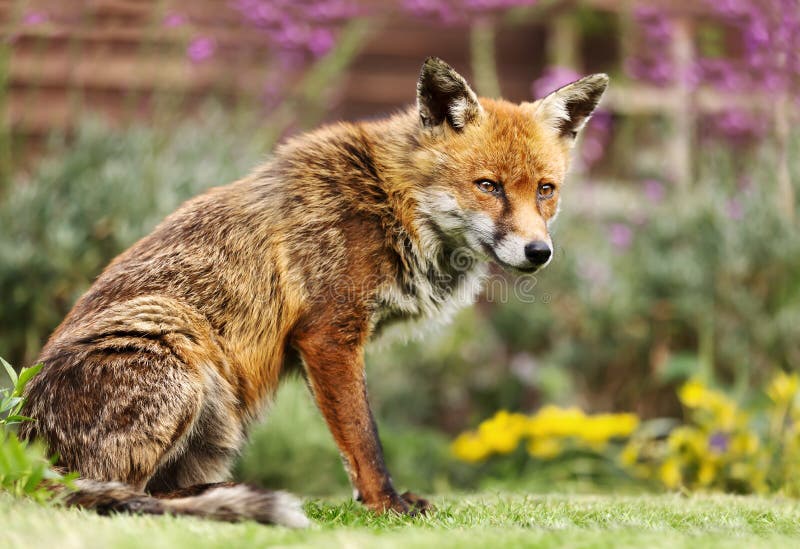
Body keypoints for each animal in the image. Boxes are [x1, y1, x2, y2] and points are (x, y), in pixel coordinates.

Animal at [19, 57, 607, 526]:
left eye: (546, 190)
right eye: (488, 186)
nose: (538, 252)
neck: (392, 204)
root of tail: (22, 443)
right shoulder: (329, 334)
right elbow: (364, 441)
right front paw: (387, 507)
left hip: (217, 414)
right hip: (177, 338)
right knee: (124, 493)